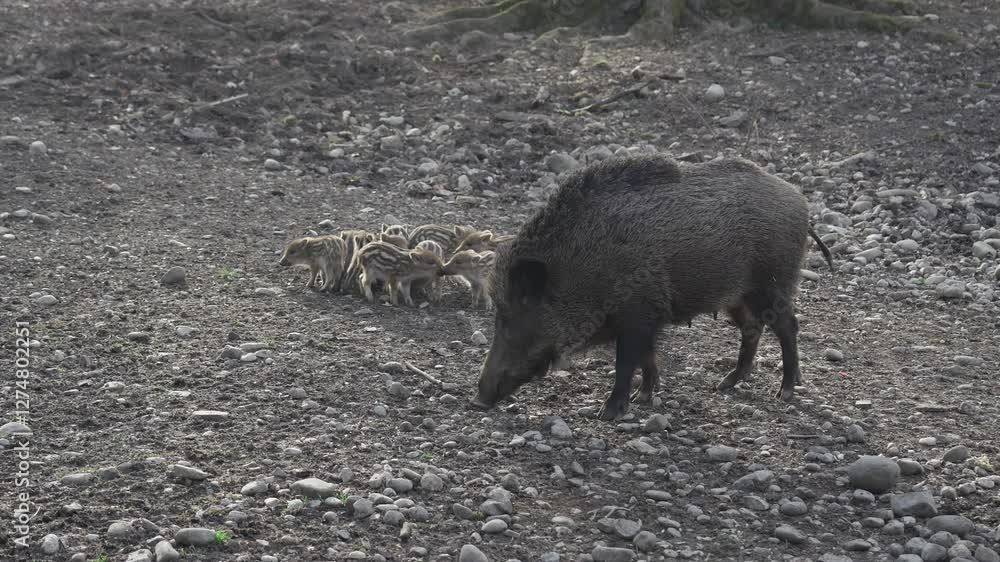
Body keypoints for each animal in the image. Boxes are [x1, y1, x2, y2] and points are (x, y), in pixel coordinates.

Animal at [472, 154, 834, 420]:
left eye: (514, 312)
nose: (478, 399)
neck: (582, 266)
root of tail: (800, 201)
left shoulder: (636, 313)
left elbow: (626, 363)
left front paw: (609, 412)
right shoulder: (646, 317)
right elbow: (647, 357)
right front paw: (643, 397)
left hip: (771, 285)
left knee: (787, 327)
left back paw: (785, 391)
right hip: (738, 295)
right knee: (752, 328)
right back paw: (725, 384)